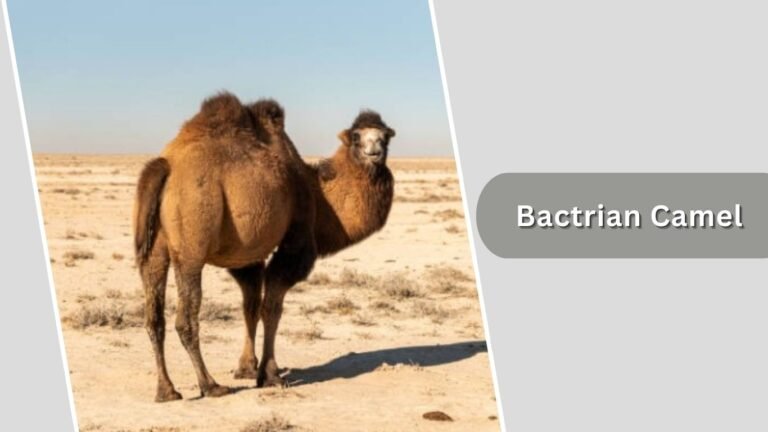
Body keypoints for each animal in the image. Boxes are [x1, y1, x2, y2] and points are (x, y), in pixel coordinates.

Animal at [133, 92, 395, 402]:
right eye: (356, 137)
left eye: (385, 137)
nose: (374, 152)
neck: (318, 192)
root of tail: (166, 167)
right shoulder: (296, 240)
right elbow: (272, 308)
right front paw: (269, 375)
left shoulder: (248, 256)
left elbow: (251, 306)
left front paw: (247, 368)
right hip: (192, 241)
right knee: (185, 317)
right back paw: (210, 385)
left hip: (153, 249)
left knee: (154, 316)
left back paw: (167, 390)